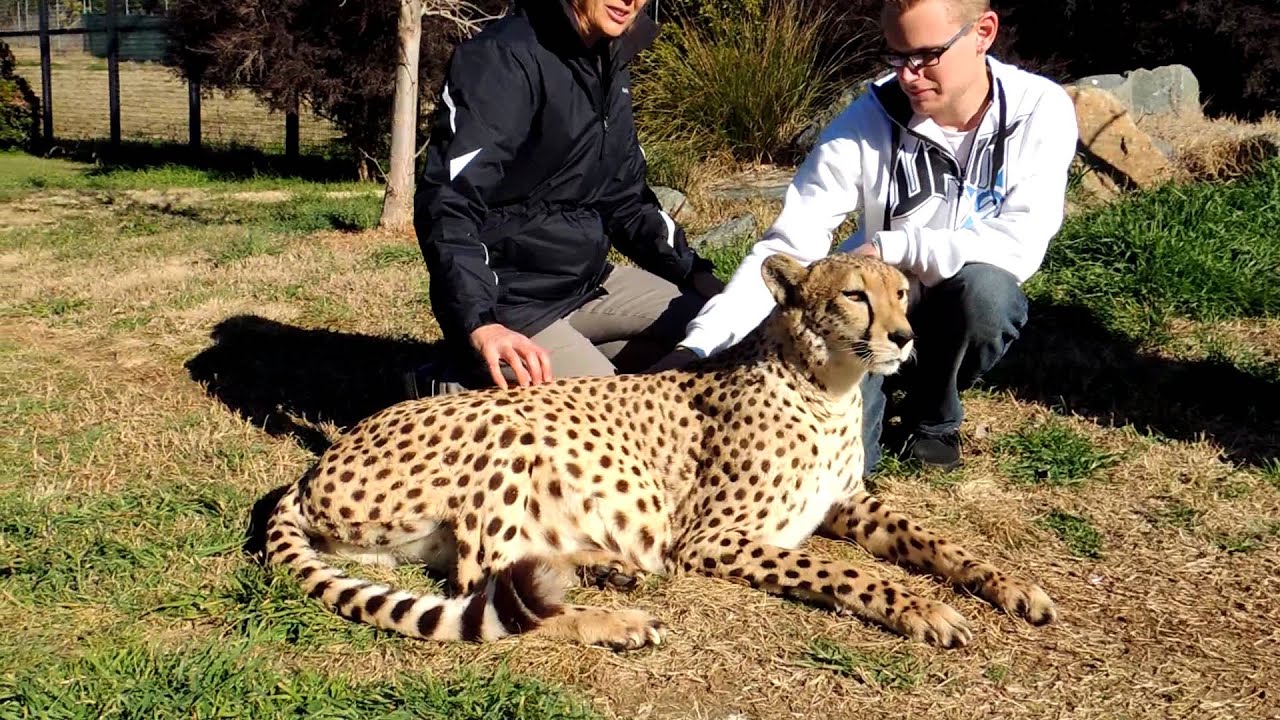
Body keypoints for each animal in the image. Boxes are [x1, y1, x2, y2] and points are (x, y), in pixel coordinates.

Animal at [263, 252, 1057, 650]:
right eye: (856, 296)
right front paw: (922, 609)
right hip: (507, 427)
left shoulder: (849, 504)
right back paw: (614, 621)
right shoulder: (712, 539)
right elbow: (843, 572)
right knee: (476, 596)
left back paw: (605, 570)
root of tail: (315, 466)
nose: (904, 338)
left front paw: (1010, 586)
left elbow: (938, 541)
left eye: (902, 294)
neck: (824, 384)